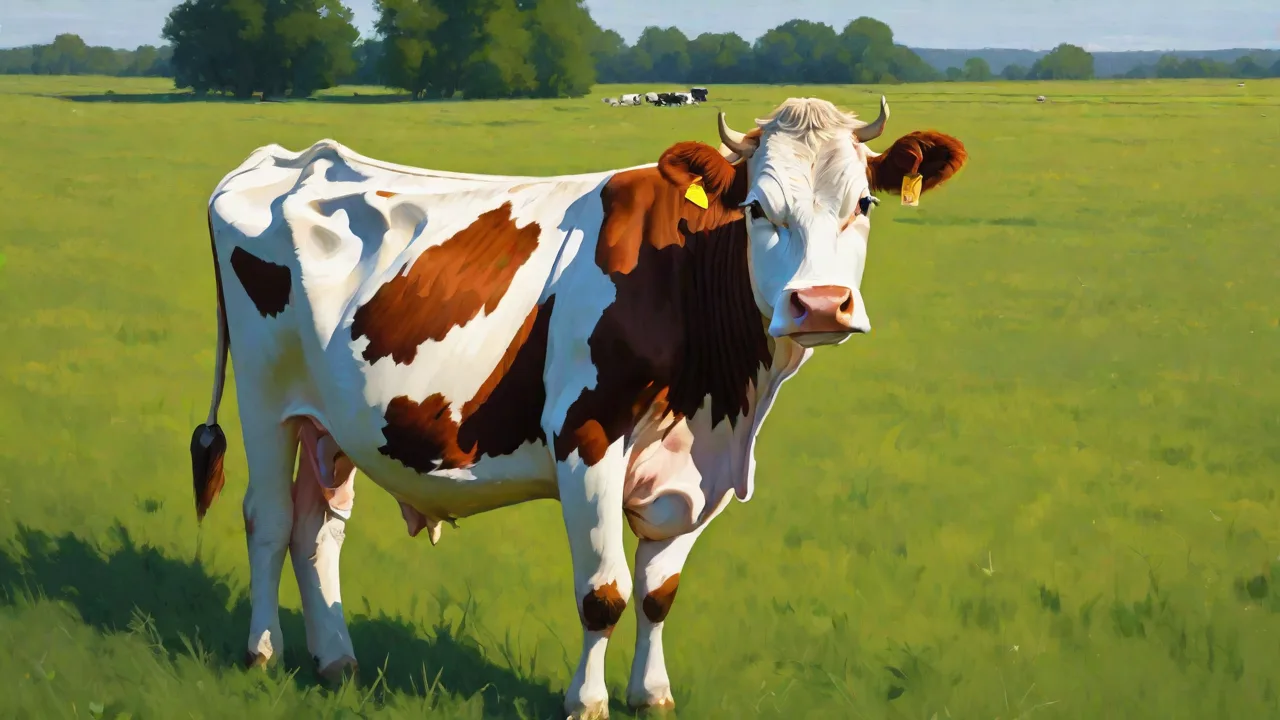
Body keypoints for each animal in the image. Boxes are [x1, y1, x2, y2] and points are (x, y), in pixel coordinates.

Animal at [191, 95, 967, 719]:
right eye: (757, 209)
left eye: (863, 204)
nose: (820, 305)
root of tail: (289, 158)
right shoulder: (585, 437)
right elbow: (605, 591)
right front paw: (586, 703)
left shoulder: (697, 471)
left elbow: (658, 591)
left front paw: (651, 695)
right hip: (265, 398)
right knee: (268, 519)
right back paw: (263, 651)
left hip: (331, 422)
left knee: (317, 528)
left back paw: (336, 660)